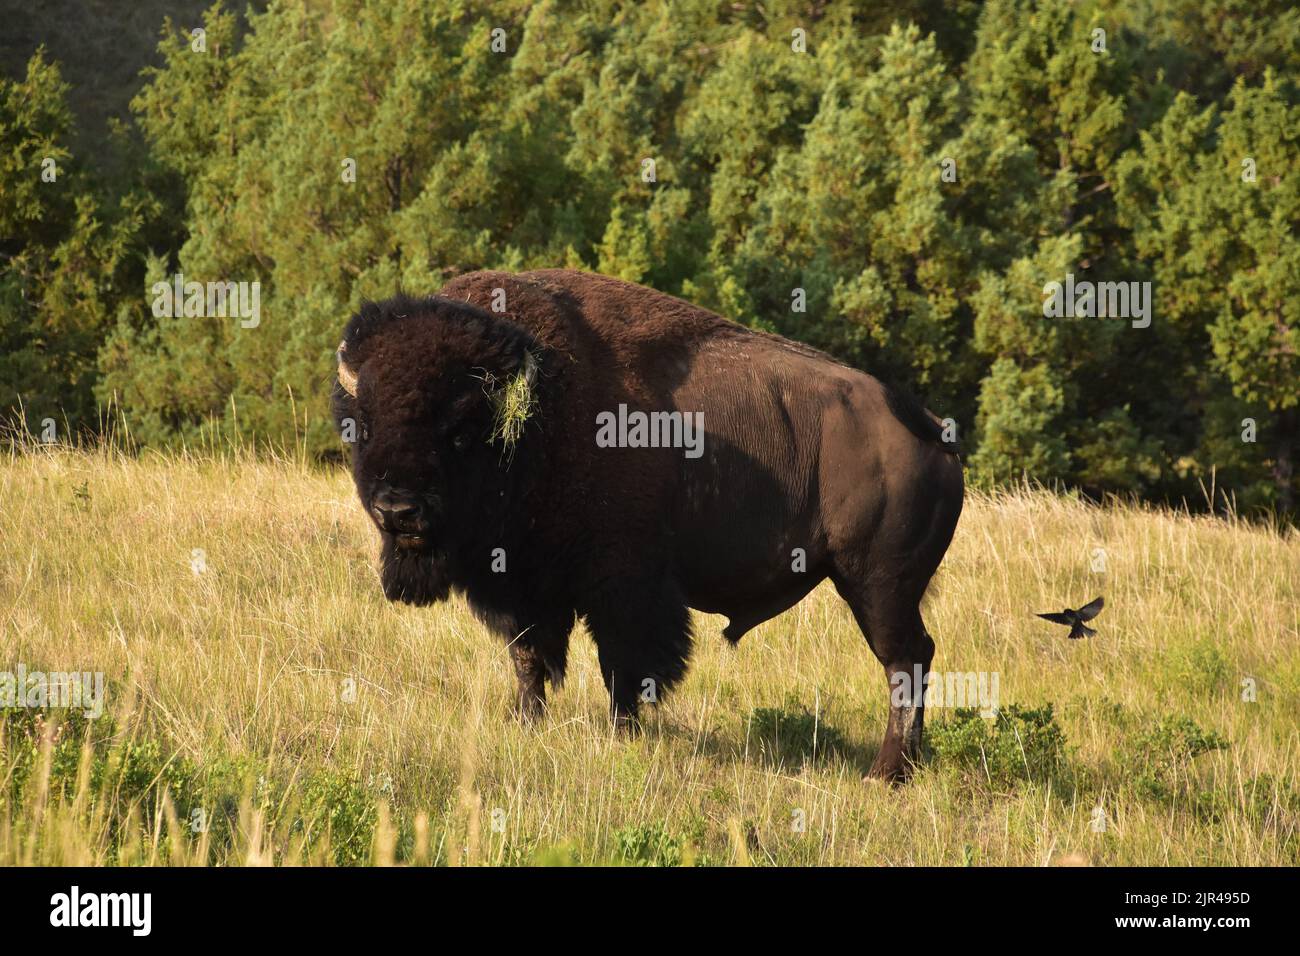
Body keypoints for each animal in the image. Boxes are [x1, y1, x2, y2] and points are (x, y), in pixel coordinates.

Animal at [332, 269, 963, 781]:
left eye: (460, 428)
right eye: (364, 421)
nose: (398, 510)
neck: (541, 408)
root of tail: (927, 425)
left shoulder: (625, 588)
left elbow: (625, 666)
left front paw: (623, 735)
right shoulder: (525, 589)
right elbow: (530, 660)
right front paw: (525, 724)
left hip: (876, 584)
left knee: (905, 659)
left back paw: (885, 774)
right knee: (914, 658)